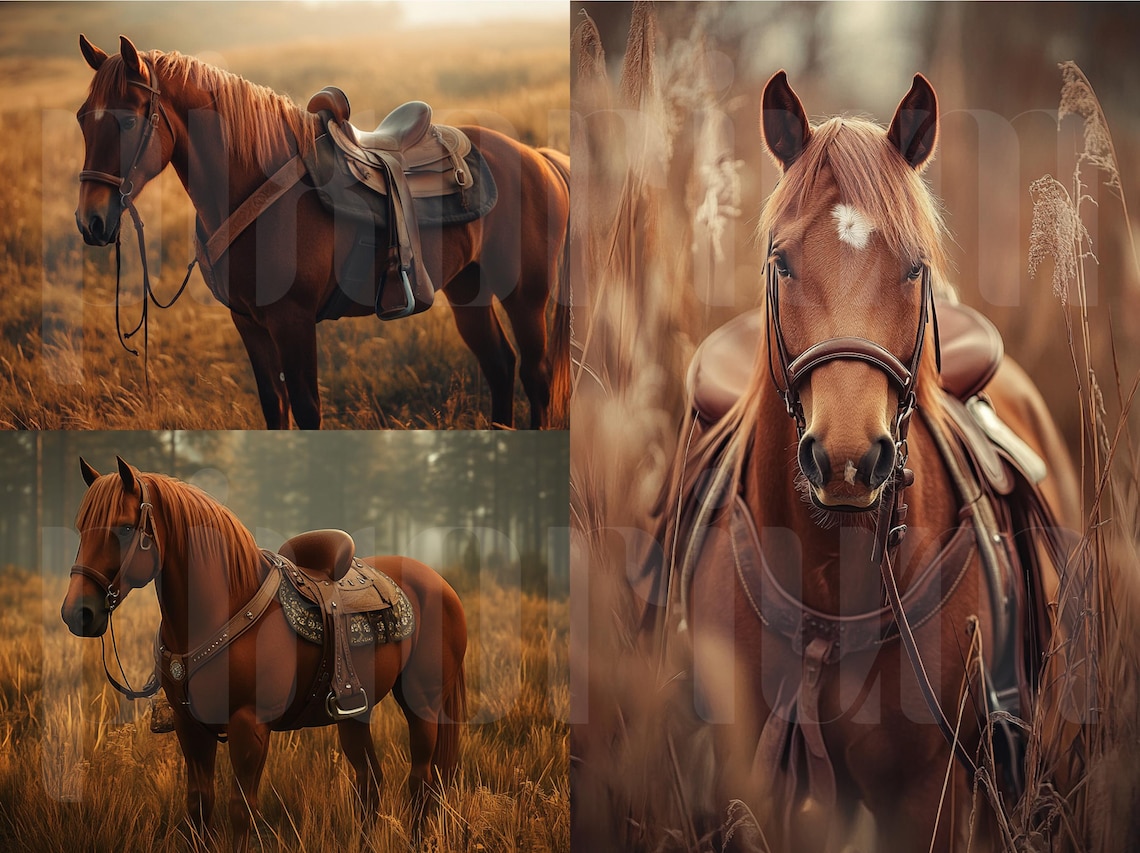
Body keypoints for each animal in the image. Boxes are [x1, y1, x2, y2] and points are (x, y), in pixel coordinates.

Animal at [60, 456, 468, 848]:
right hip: (355, 713)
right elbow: (199, 804)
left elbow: (241, 811)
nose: (78, 613)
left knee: (422, 779)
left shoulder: (250, 726)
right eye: (80, 528)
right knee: (370, 781)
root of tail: (440, 584)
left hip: (422, 702)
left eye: (125, 529)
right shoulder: (190, 726)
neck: (224, 607)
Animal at [74, 35, 570, 430]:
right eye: (82, 117)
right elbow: (275, 408)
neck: (253, 184)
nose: (90, 221)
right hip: (469, 291)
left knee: (536, 376)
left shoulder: (292, 322)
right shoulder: (248, 323)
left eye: (129, 120)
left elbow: (307, 409)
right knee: (500, 366)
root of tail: (537, 157)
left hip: (526, 296)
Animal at [648, 72, 1081, 851]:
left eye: (915, 266)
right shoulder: (753, 784)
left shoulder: (930, 795)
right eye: (782, 261)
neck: (830, 574)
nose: (848, 459)